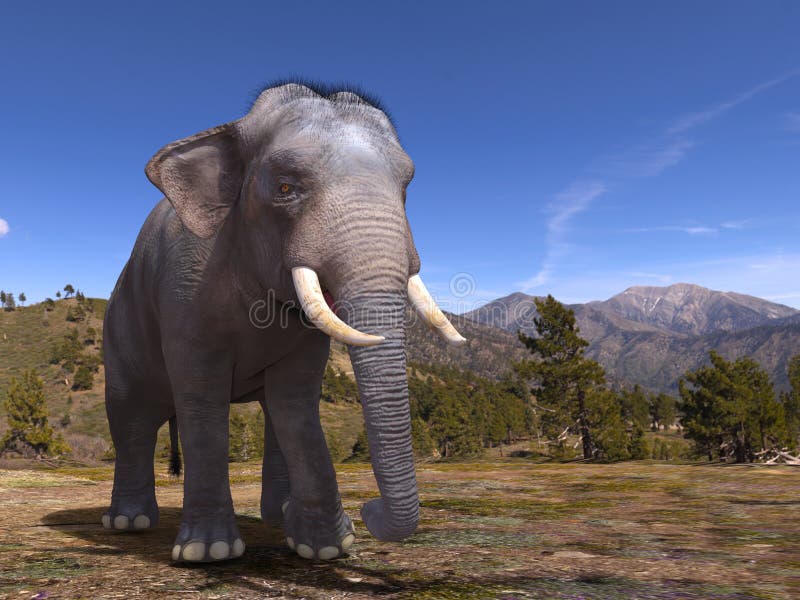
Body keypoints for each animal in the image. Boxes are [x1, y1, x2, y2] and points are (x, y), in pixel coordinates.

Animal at [101, 81, 466, 563]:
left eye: (405, 188)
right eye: (285, 186)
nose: (368, 509)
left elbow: (296, 401)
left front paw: (326, 547)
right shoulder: (184, 290)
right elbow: (201, 397)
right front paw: (209, 553)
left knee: (273, 412)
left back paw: (277, 517)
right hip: (119, 329)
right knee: (131, 417)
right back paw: (129, 523)